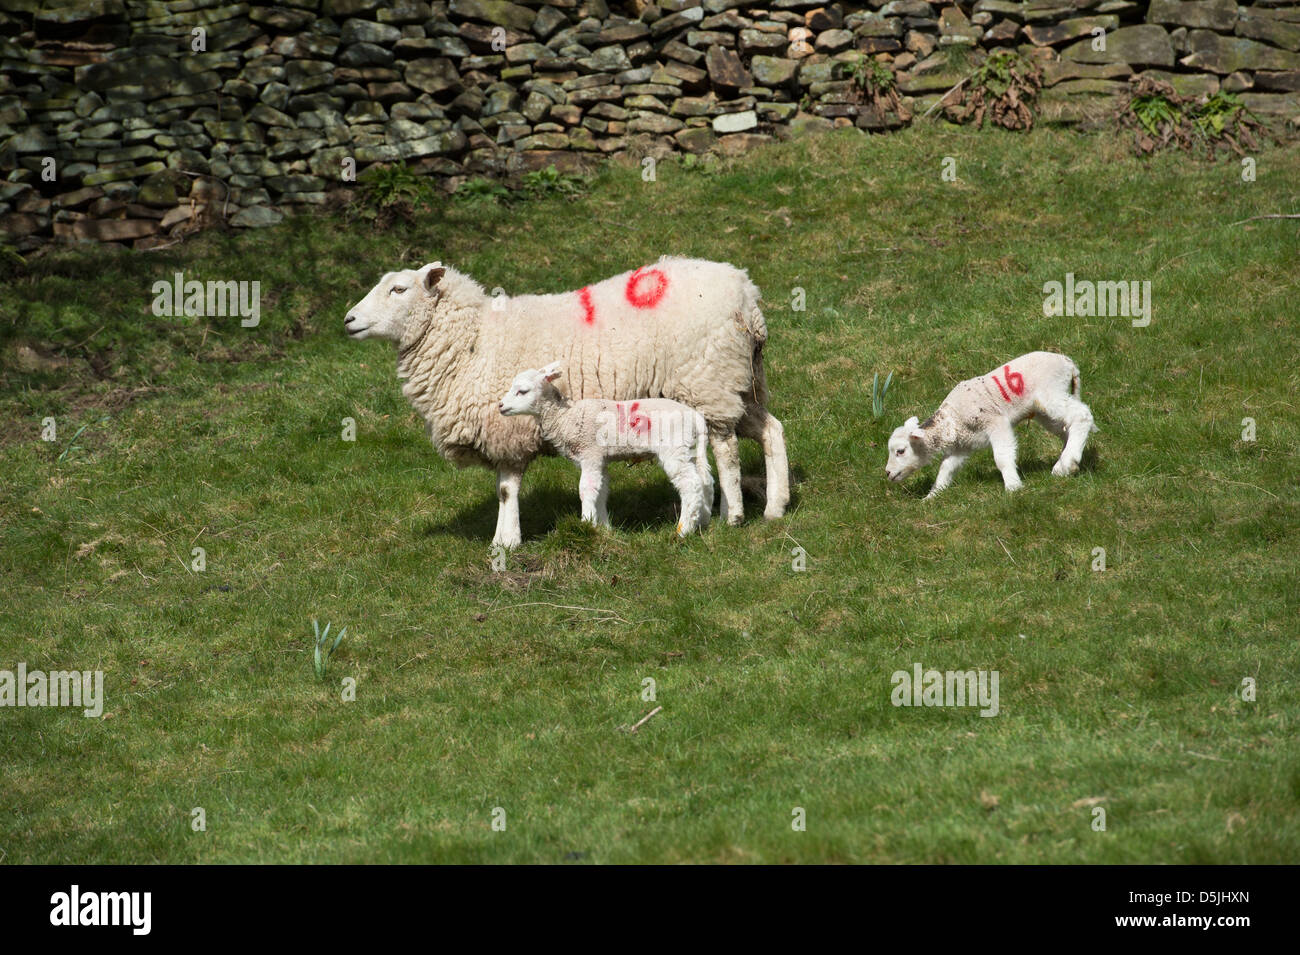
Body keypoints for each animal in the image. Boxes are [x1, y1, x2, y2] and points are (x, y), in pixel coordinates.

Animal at [498, 362, 713, 535]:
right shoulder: (599, 458)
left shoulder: (590, 453)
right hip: (688, 449)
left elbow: (586, 489)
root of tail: (696, 418)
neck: (565, 417)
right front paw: (604, 528)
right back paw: (701, 521)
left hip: (673, 447)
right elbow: (601, 491)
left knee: (690, 484)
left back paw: (683, 530)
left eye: (522, 391)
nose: (500, 406)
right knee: (705, 481)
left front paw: (586, 524)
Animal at [885, 351, 1095, 498]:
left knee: (1082, 416)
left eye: (900, 451)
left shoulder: (996, 422)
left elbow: (1002, 457)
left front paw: (1013, 487)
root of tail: (1068, 363)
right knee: (1066, 429)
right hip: (1043, 410)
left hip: (1050, 392)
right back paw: (1067, 465)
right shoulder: (961, 445)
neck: (952, 420)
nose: (887, 473)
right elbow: (946, 469)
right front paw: (932, 496)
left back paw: (1066, 462)